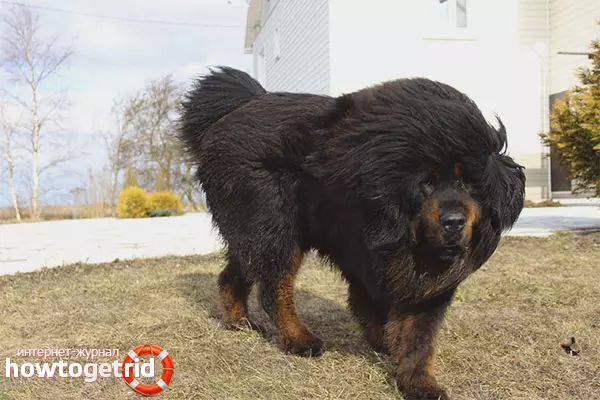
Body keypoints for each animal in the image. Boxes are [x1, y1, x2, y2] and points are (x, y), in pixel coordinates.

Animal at [178, 67, 524, 398]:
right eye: (427, 183)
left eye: (469, 183)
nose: (453, 221)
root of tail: (232, 111)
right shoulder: (365, 258)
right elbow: (375, 309)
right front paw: (387, 347)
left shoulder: (429, 285)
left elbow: (418, 336)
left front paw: (418, 381)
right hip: (276, 229)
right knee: (275, 289)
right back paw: (299, 339)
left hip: (256, 232)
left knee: (234, 273)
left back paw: (238, 322)